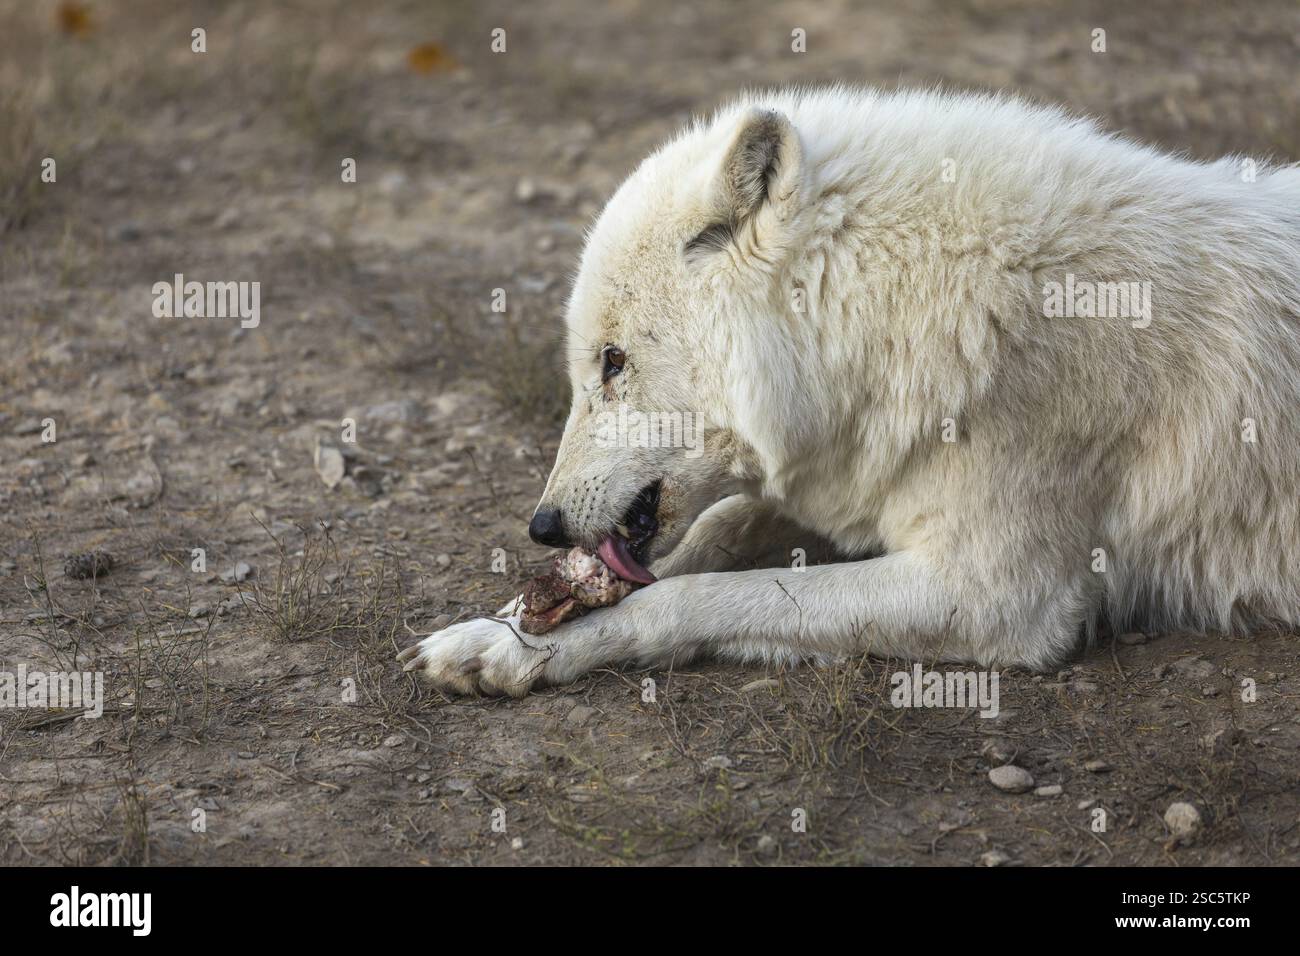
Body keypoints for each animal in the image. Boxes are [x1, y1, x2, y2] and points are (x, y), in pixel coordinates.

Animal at [399, 87, 1300, 697]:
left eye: (612, 363)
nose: (543, 525)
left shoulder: (993, 598)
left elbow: (692, 596)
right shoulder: (859, 470)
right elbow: (718, 530)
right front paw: (501, 630)